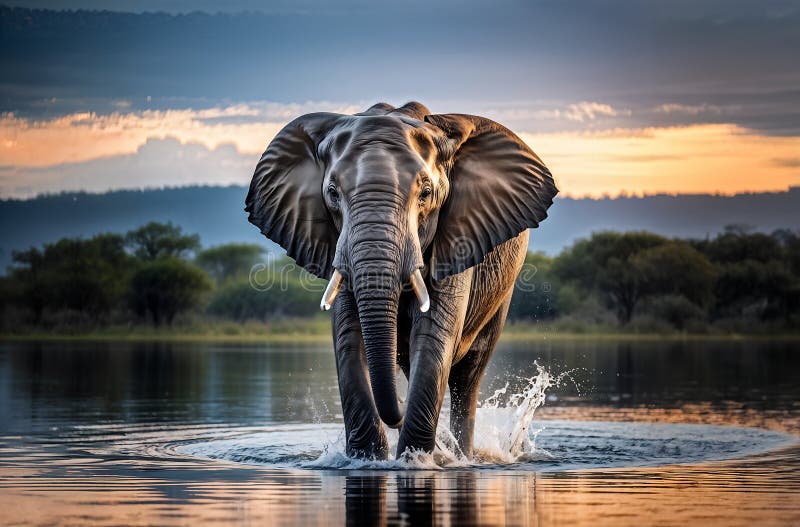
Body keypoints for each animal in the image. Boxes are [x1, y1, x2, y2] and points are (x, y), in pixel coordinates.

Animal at [246, 101, 557, 459]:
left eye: (426, 193)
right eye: (333, 193)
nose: (399, 407)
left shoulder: (458, 239)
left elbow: (433, 339)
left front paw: (416, 460)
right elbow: (350, 339)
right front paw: (368, 458)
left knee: (467, 378)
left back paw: (462, 455)